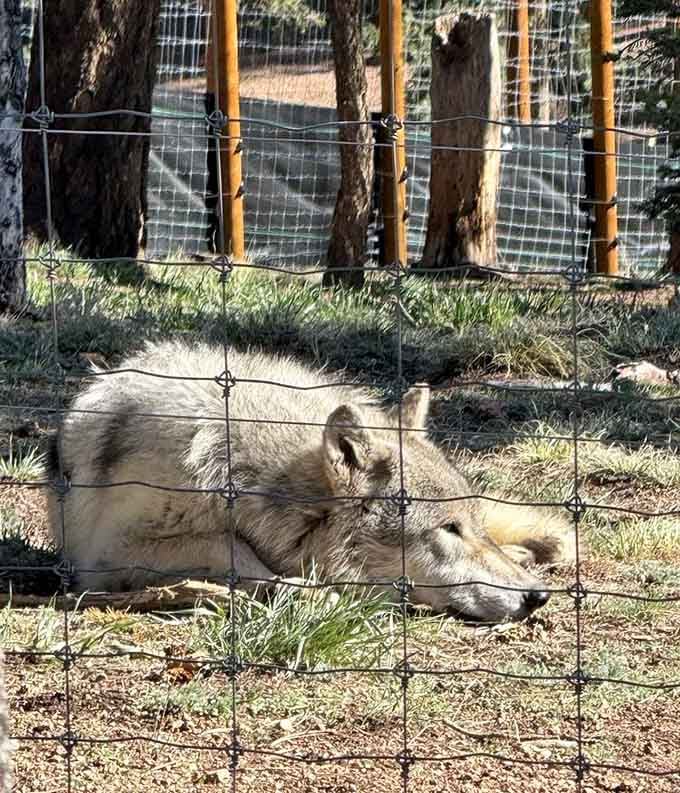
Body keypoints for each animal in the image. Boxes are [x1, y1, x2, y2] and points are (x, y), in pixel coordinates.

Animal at [47, 341, 574, 622]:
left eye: (468, 525)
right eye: (448, 529)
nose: (538, 596)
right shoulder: (108, 555)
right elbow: (234, 551)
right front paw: (306, 590)